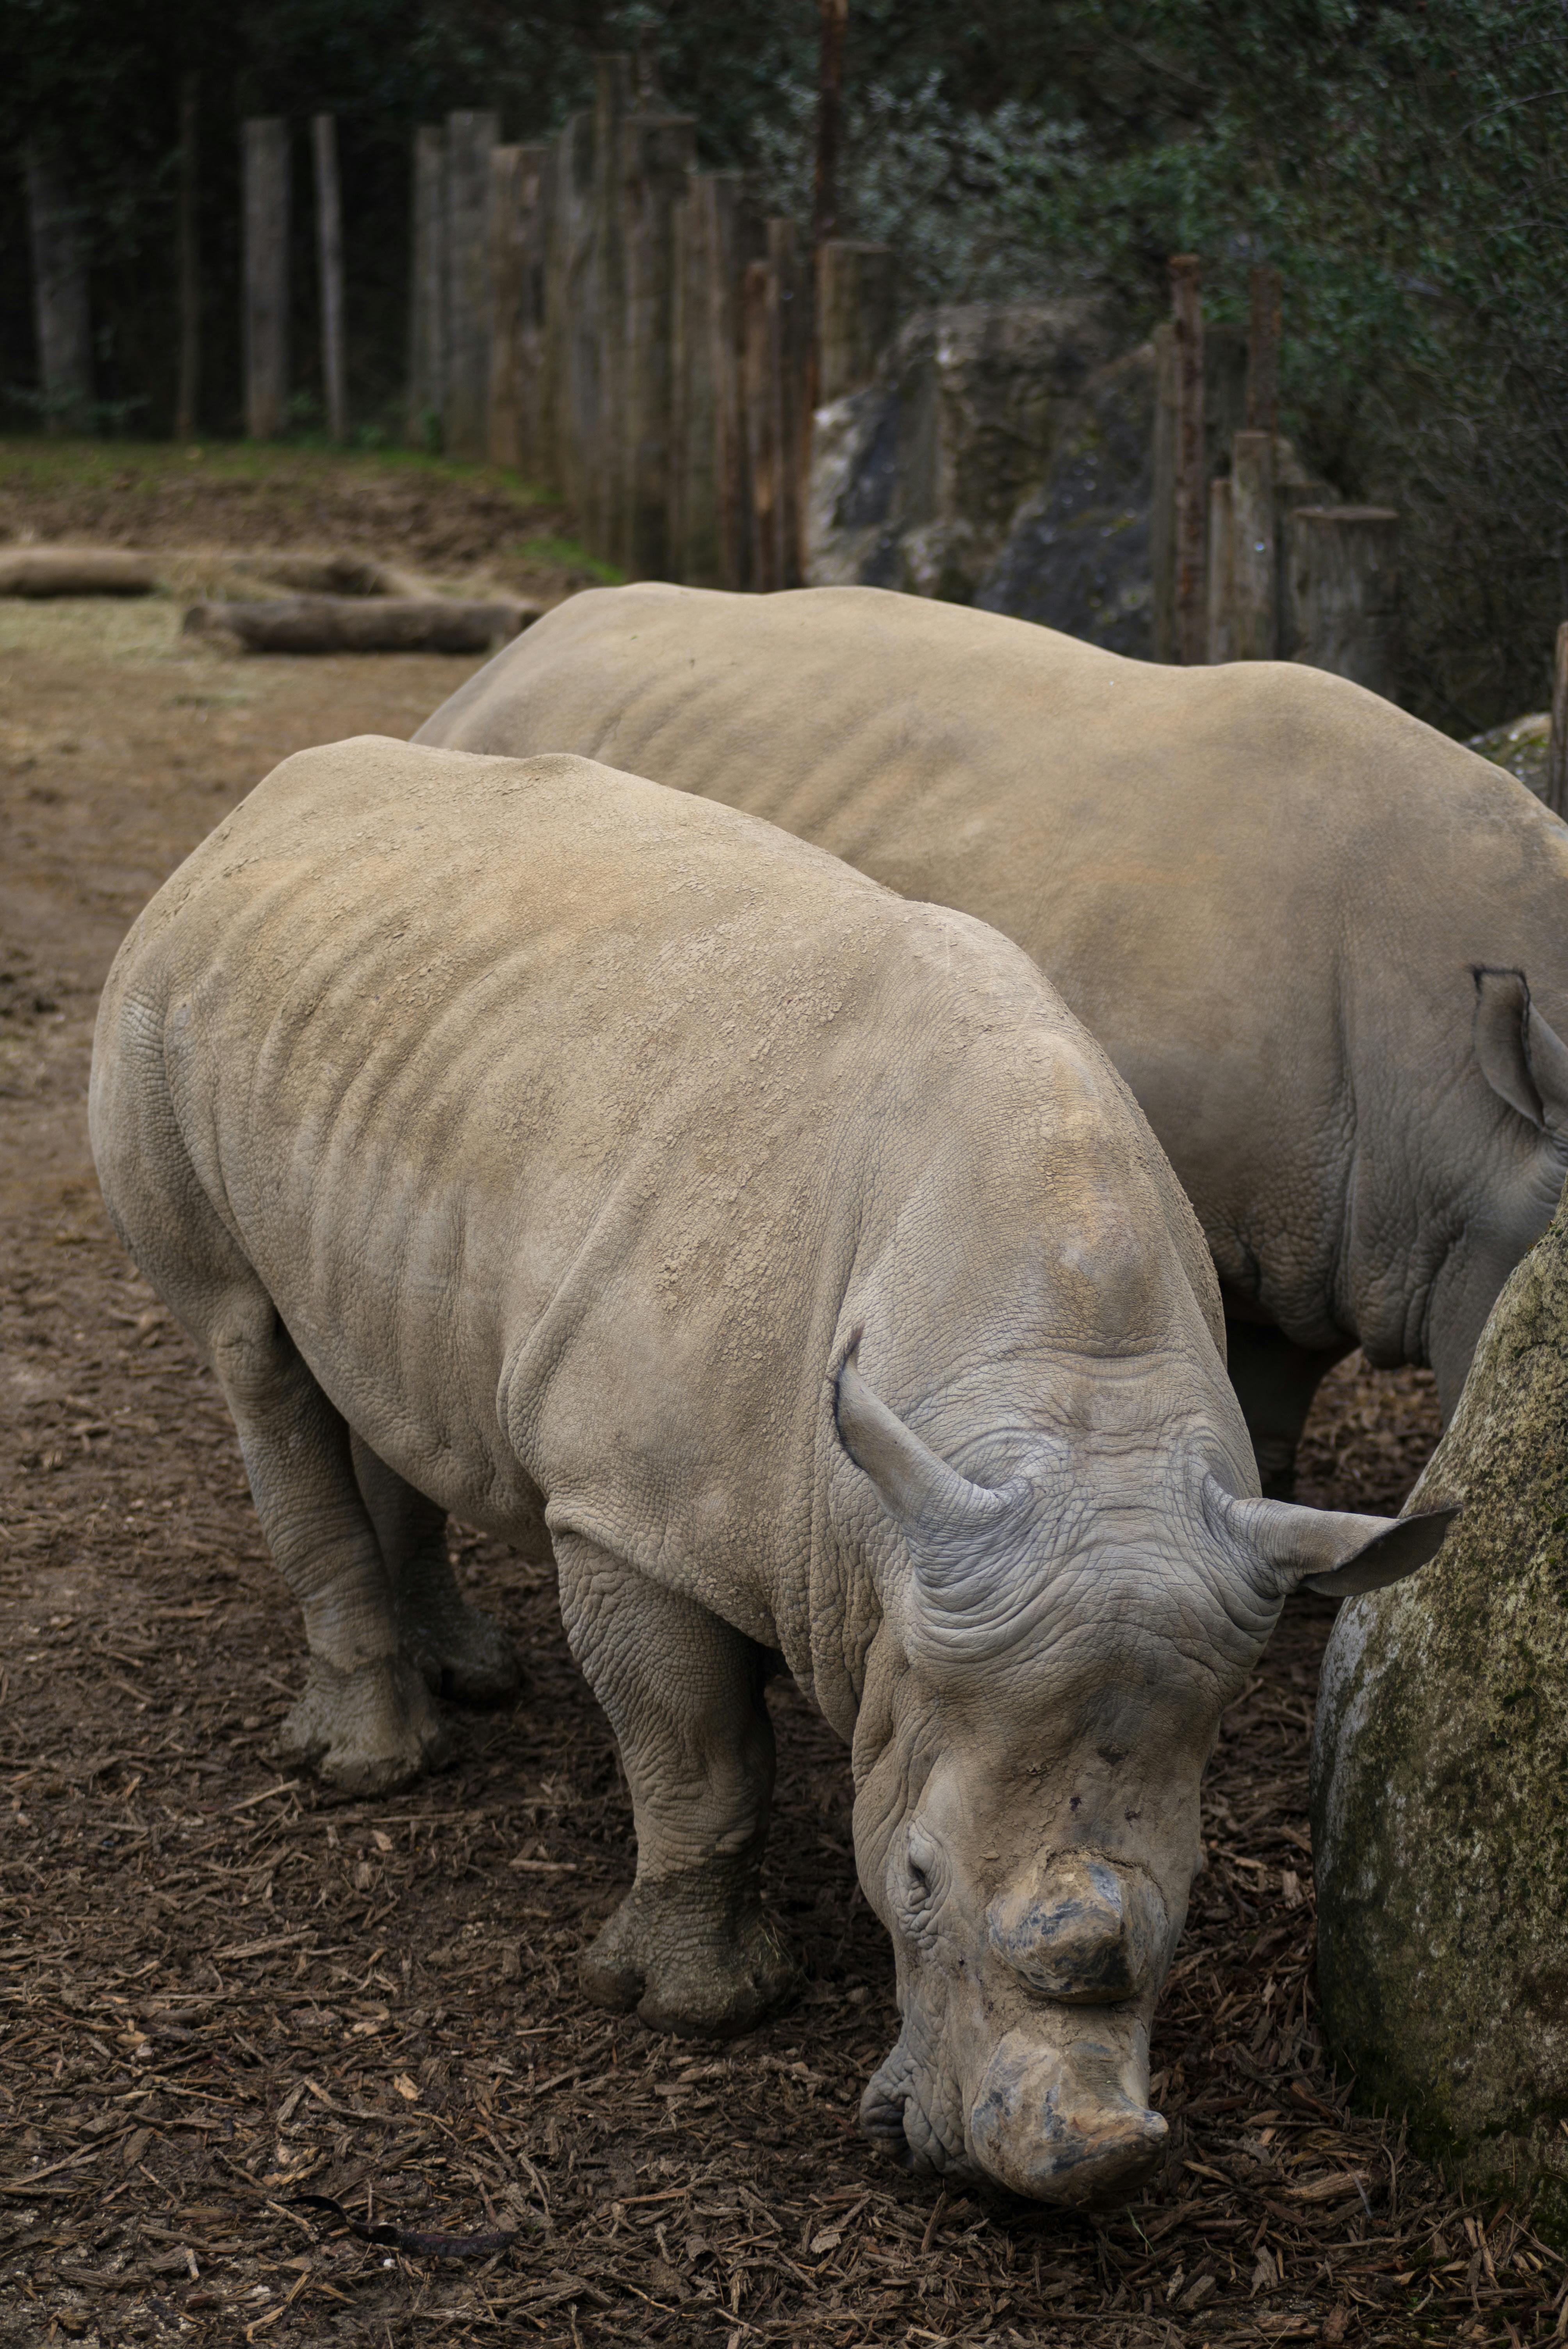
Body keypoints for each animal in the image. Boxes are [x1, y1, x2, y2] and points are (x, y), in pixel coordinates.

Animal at [90, 737, 1451, 2205]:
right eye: (911, 1879)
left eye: (1195, 1894)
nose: (1068, 2175)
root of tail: (264, 803)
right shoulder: (631, 1521)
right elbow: (698, 1754)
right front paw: (699, 2007)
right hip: (162, 996)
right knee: (253, 1348)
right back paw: (372, 1769)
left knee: (377, 1363)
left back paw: (472, 1676)